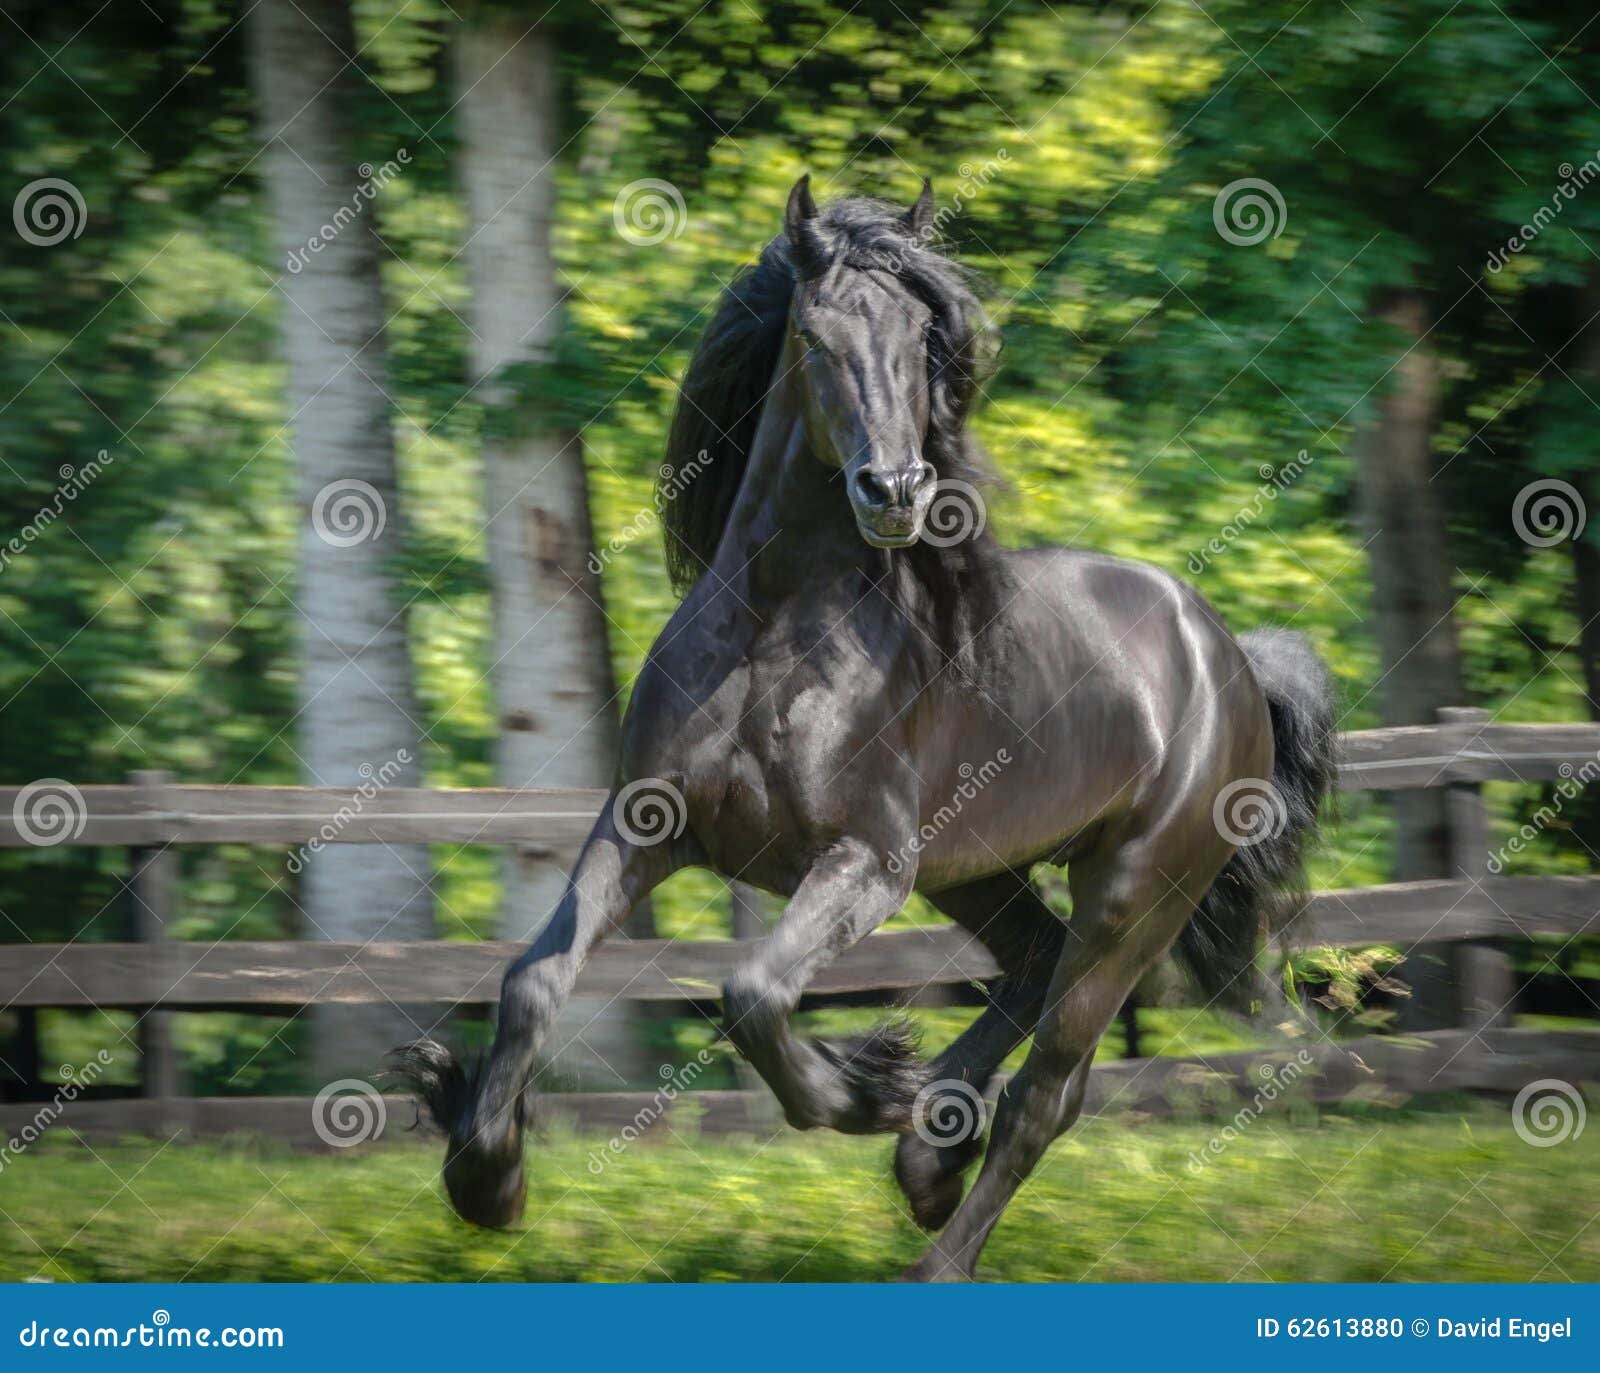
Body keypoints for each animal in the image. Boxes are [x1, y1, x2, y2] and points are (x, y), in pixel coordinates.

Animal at [392, 175, 1338, 1282]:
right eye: (813, 333)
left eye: (925, 334)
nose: (895, 489)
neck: (773, 635)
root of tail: (1228, 656)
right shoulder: (644, 824)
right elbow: (537, 980)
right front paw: (485, 1176)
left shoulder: (865, 860)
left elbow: (755, 992)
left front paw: (861, 1089)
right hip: (976, 869)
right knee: (1028, 967)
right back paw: (929, 1151)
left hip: (1131, 895)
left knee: (1046, 1094)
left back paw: (934, 1220)